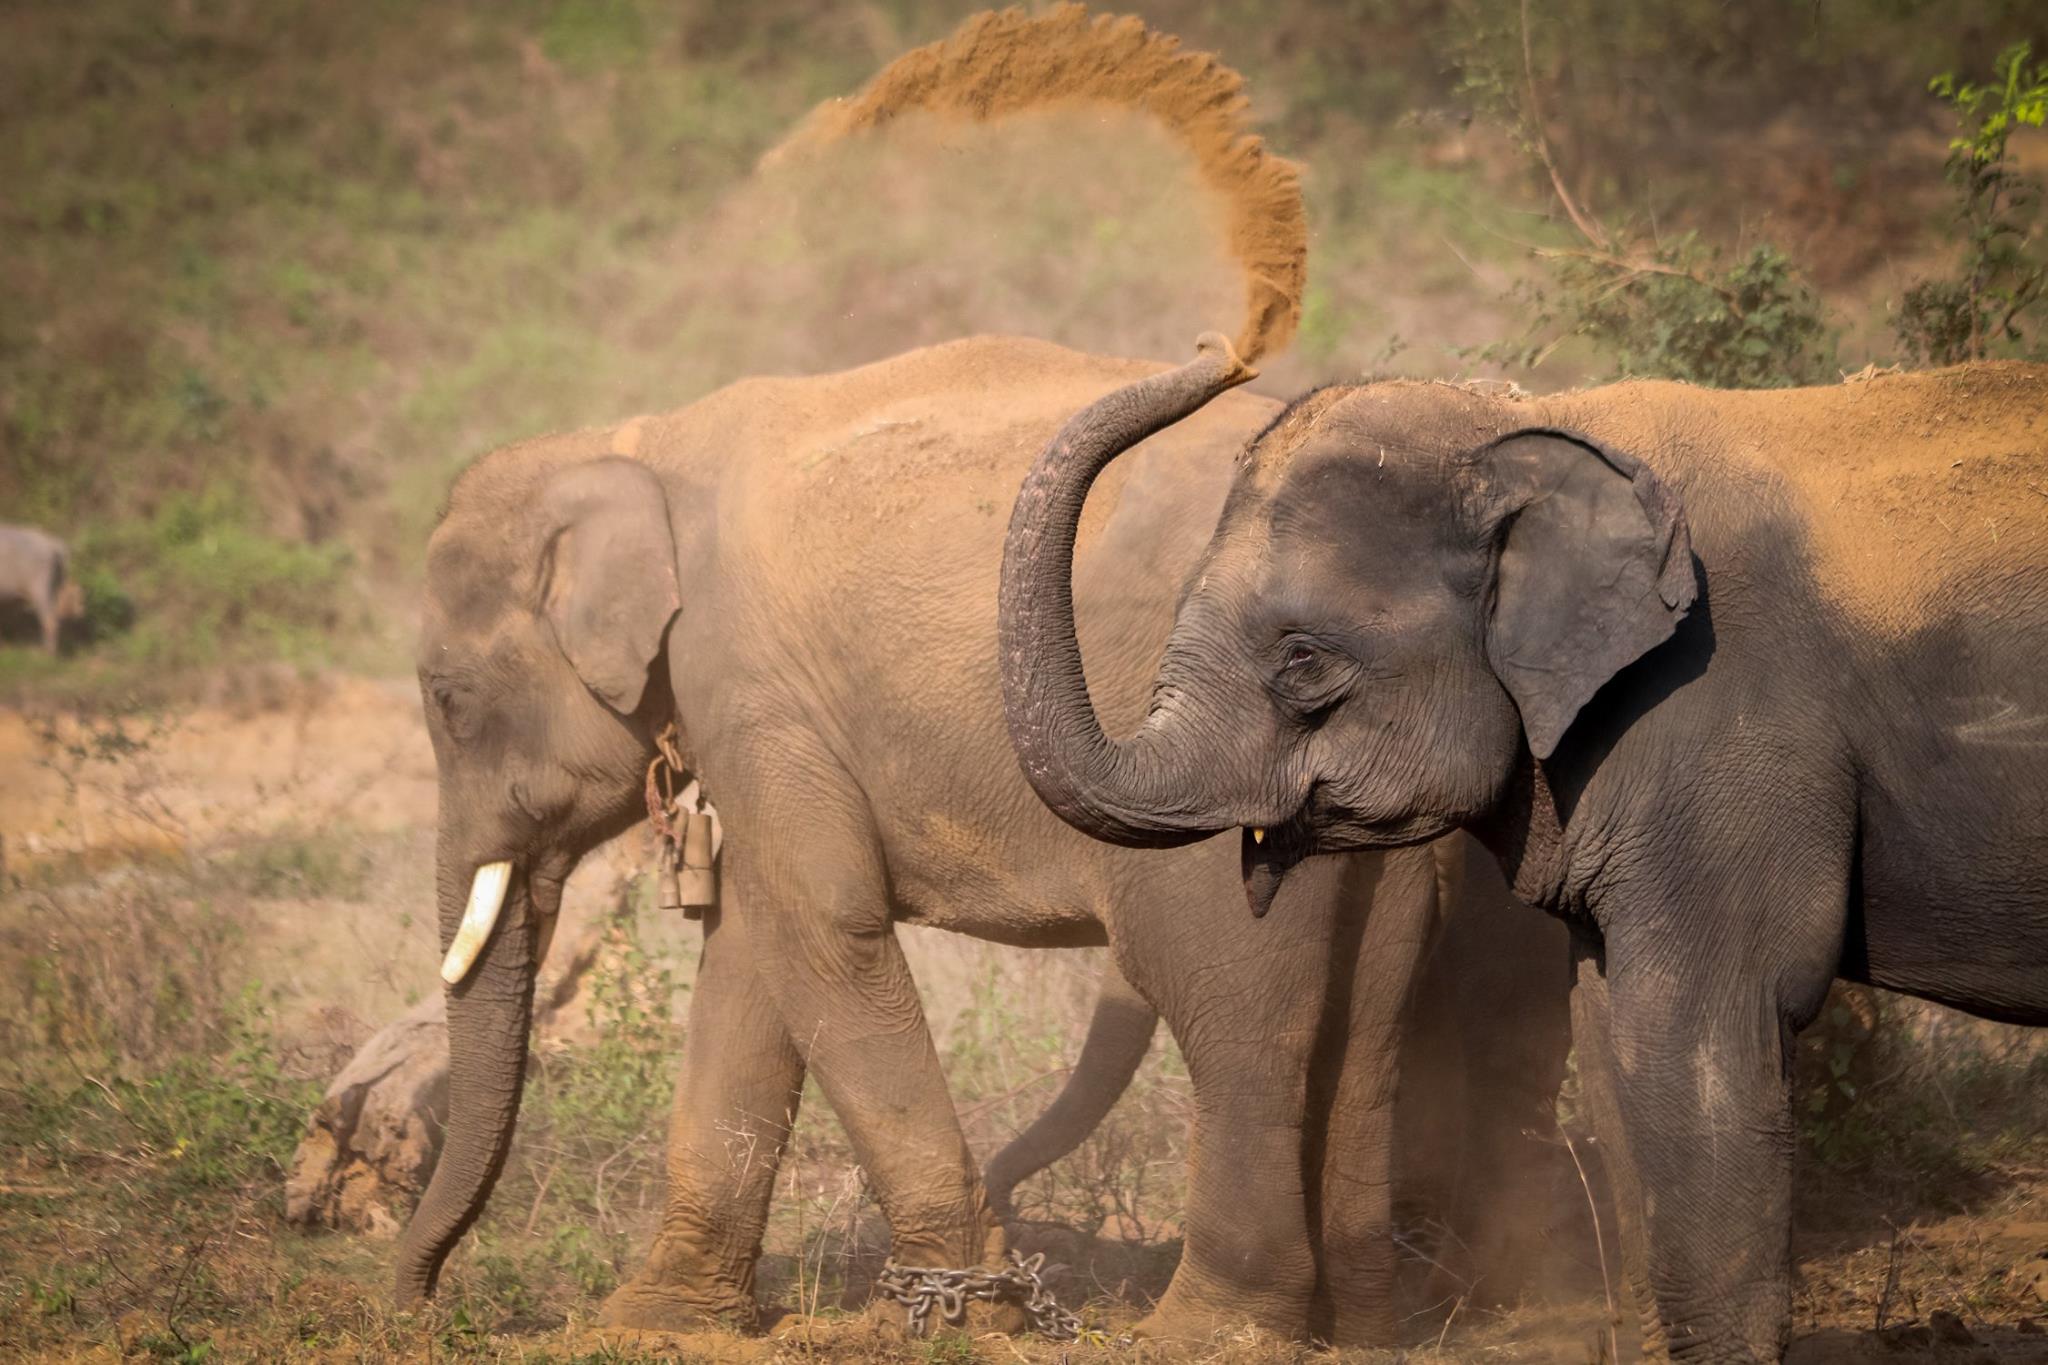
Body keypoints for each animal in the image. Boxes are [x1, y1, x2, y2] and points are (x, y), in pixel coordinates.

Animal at [396, 334, 1572, 1345]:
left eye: (449, 702)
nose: (415, 1299)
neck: (635, 442)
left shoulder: (747, 686)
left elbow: (819, 930)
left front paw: (968, 1315)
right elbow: (751, 957)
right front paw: (655, 1324)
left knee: (1237, 1015)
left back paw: (1206, 1333)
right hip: (1391, 821)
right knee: (1369, 1026)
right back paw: (1365, 1329)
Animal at [995, 334, 2048, 1362]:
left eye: (1303, 659)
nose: (1221, 346)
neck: (1525, 428)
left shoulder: (1720, 723)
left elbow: (1702, 1028)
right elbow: (1615, 1039)